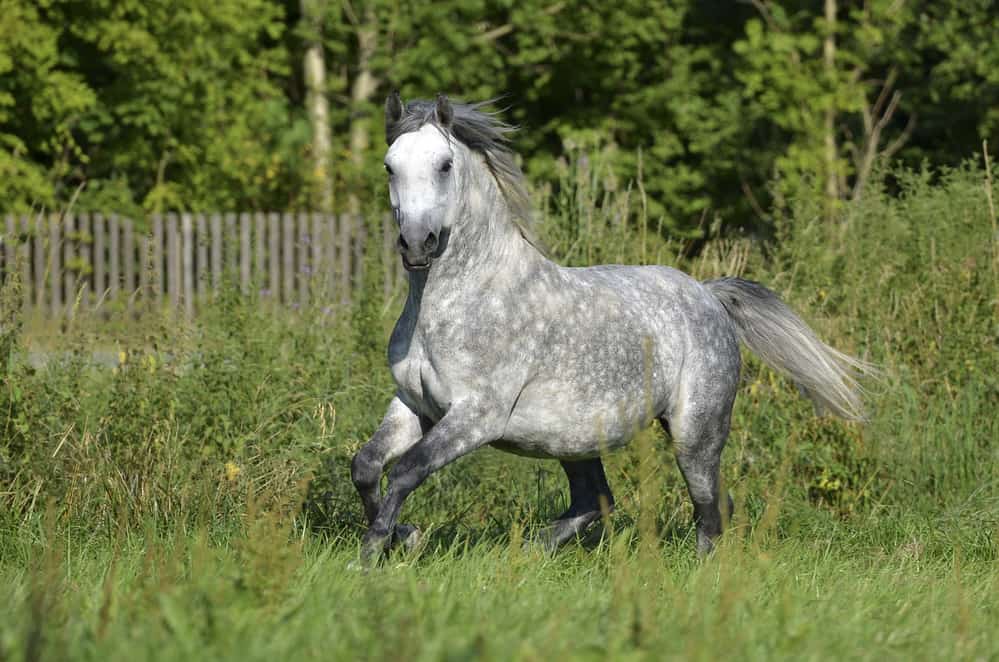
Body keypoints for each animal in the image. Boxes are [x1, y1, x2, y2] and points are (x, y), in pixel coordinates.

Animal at [350, 93, 871, 562]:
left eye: (444, 165)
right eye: (389, 166)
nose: (417, 244)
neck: (465, 300)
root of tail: (708, 295)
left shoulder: (476, 416)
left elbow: (406, 470)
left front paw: (375, 552)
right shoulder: (415, 406)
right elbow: (366, 466)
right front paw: (403, 536)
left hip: (694, 432)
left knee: (710, 508)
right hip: (569, 437)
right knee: (596, 500)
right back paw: (525, 555)